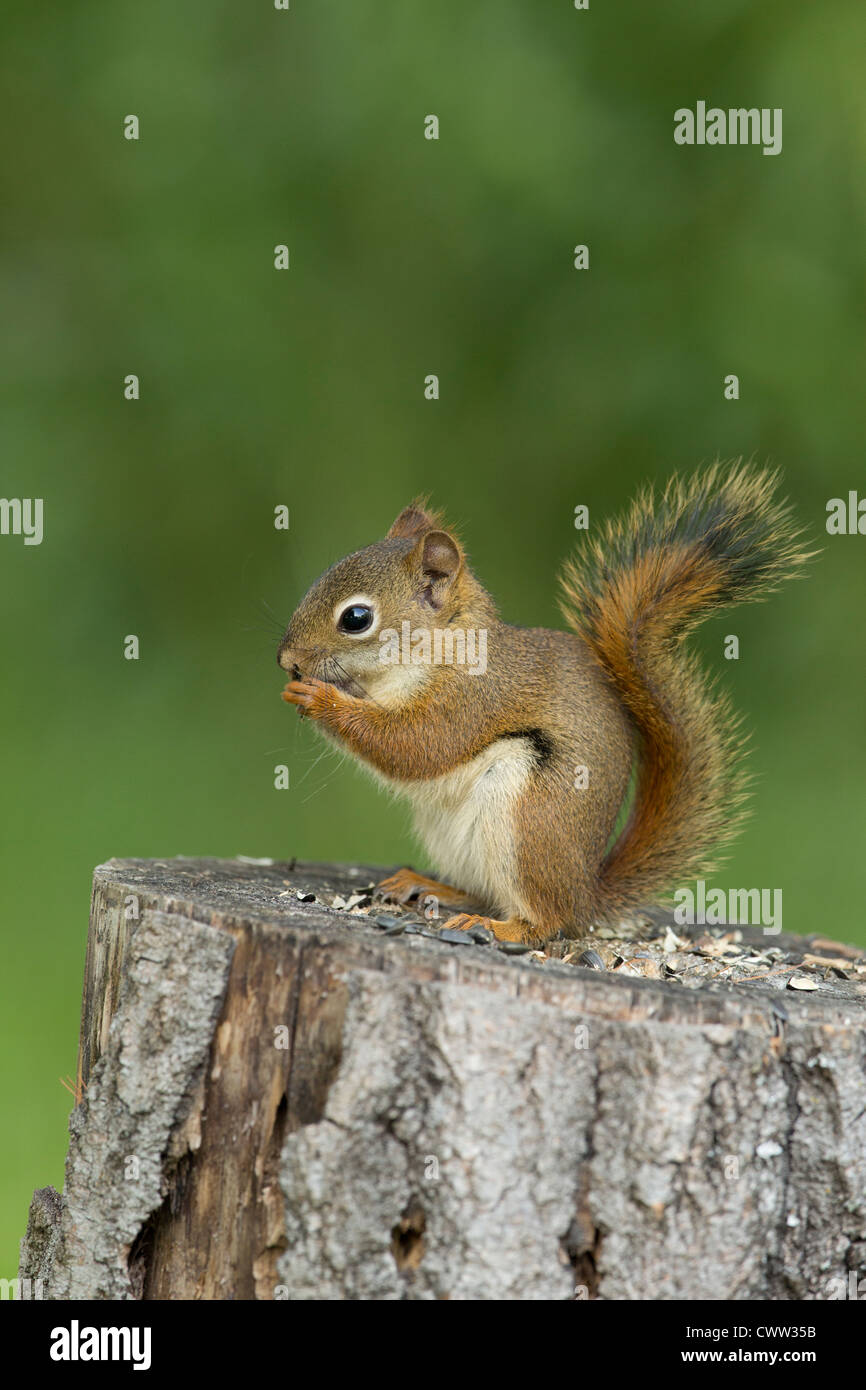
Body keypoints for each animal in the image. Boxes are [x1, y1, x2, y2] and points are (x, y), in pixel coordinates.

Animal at [278, 463, 810, 945]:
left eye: (356, 618)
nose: (286, 660)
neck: (439, 649)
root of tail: (587, 892)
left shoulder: (472, 699)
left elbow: (416, 745)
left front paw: (319, 698)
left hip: (528, 820)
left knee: (548, 922)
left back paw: (498, 927)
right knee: (486, 891)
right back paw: (430, 887)